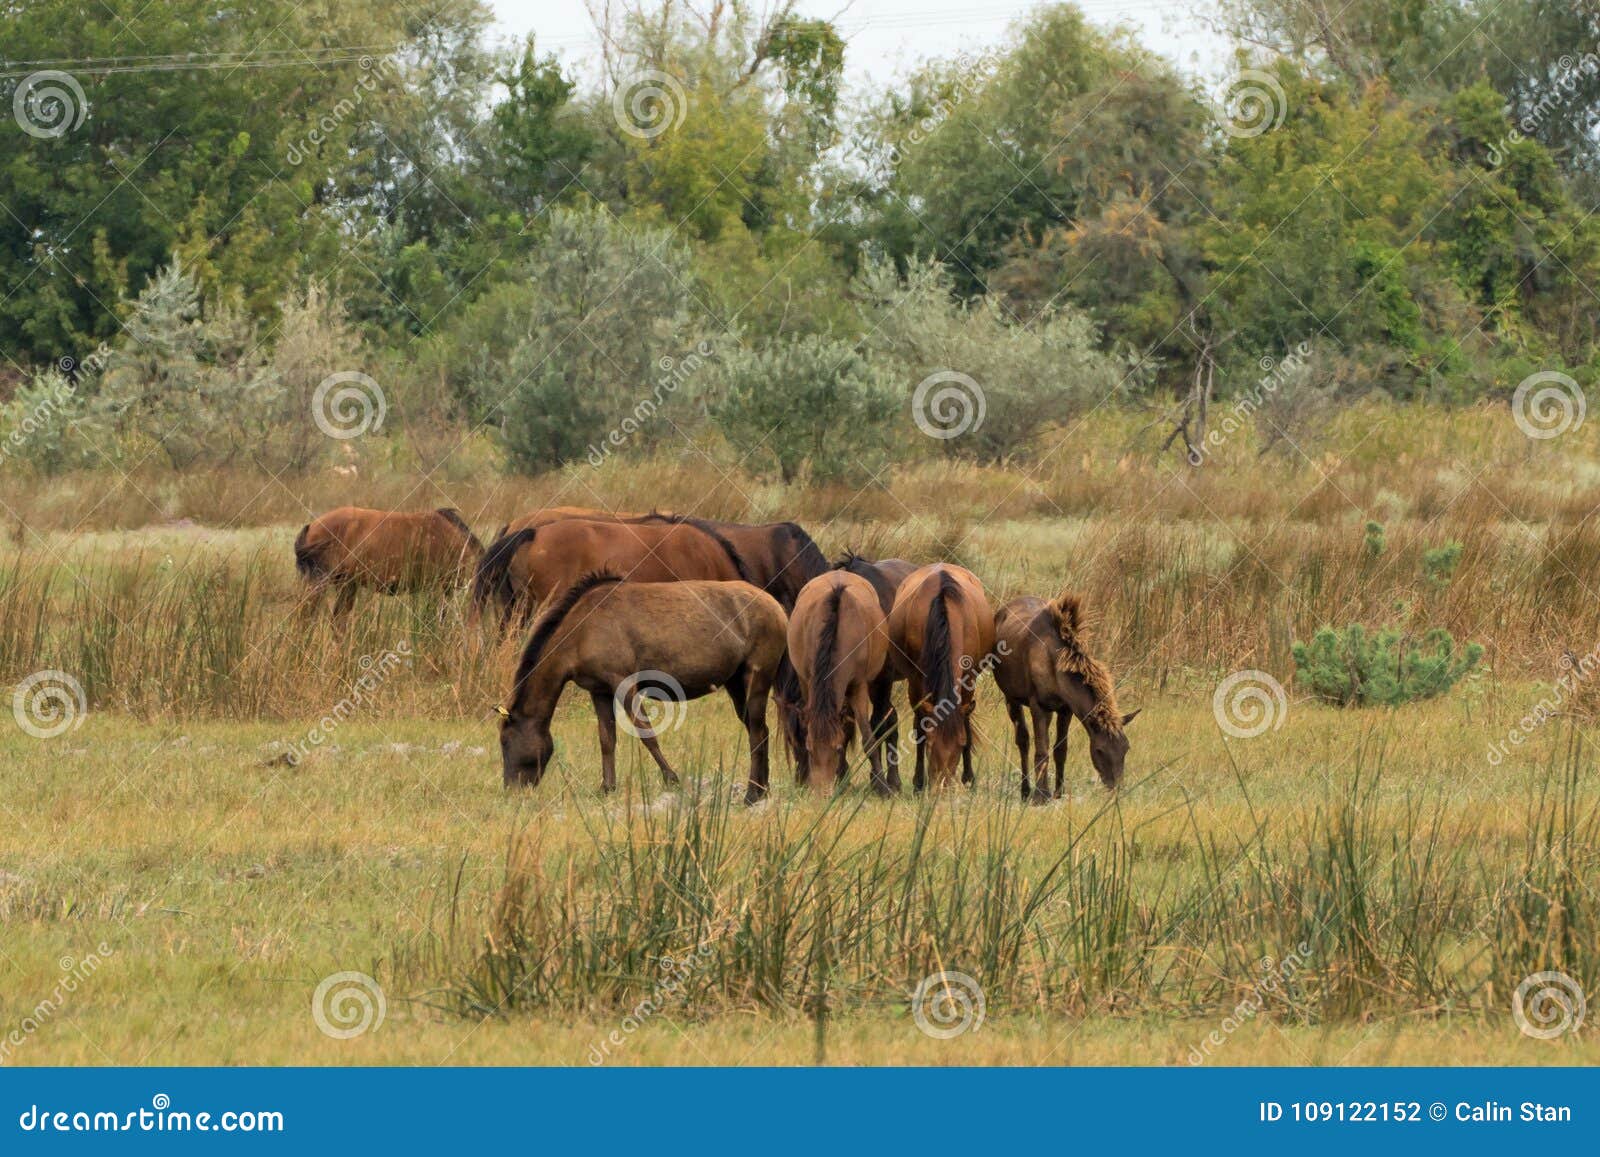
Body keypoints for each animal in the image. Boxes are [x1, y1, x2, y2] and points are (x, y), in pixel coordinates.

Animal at [497, 572, 788, 803]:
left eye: (504, 741)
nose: (511, 789)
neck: (582, 629)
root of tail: (776, 607)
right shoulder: (600, 691)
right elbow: (607, 739)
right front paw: (607, 787)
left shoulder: (624, 684)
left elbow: (646, 733)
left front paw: (671, 778)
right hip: (736, 684)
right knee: (759, 731)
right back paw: (762, 789)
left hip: (756, 682)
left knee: (757, 732)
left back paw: (752, 794)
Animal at [787, 571, 891, 794]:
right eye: (810, 749)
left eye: (837, 748)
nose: (822, 793)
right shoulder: (809, 681)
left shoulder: (859, 685)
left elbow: (868, 738)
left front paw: (882, 785)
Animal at [886, 564, 996, 791]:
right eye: (930, 744)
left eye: (960, 744)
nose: (942, 789)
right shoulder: (916, 682)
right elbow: (919, 727)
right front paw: (919, 782)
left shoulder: (968, 679)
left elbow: (966, 723)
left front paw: (969, 777)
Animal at [993, 591, 1138, 800]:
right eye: (1099, 750)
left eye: (1126, 748)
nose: (1116, 789)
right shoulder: (1038, 705)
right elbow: (1041, 751)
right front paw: (1040, 795)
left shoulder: (1065, 709)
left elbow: (1060, 750)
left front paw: (1058, 792)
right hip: (1011, 698)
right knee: (1023, 740)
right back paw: (1025, 790)